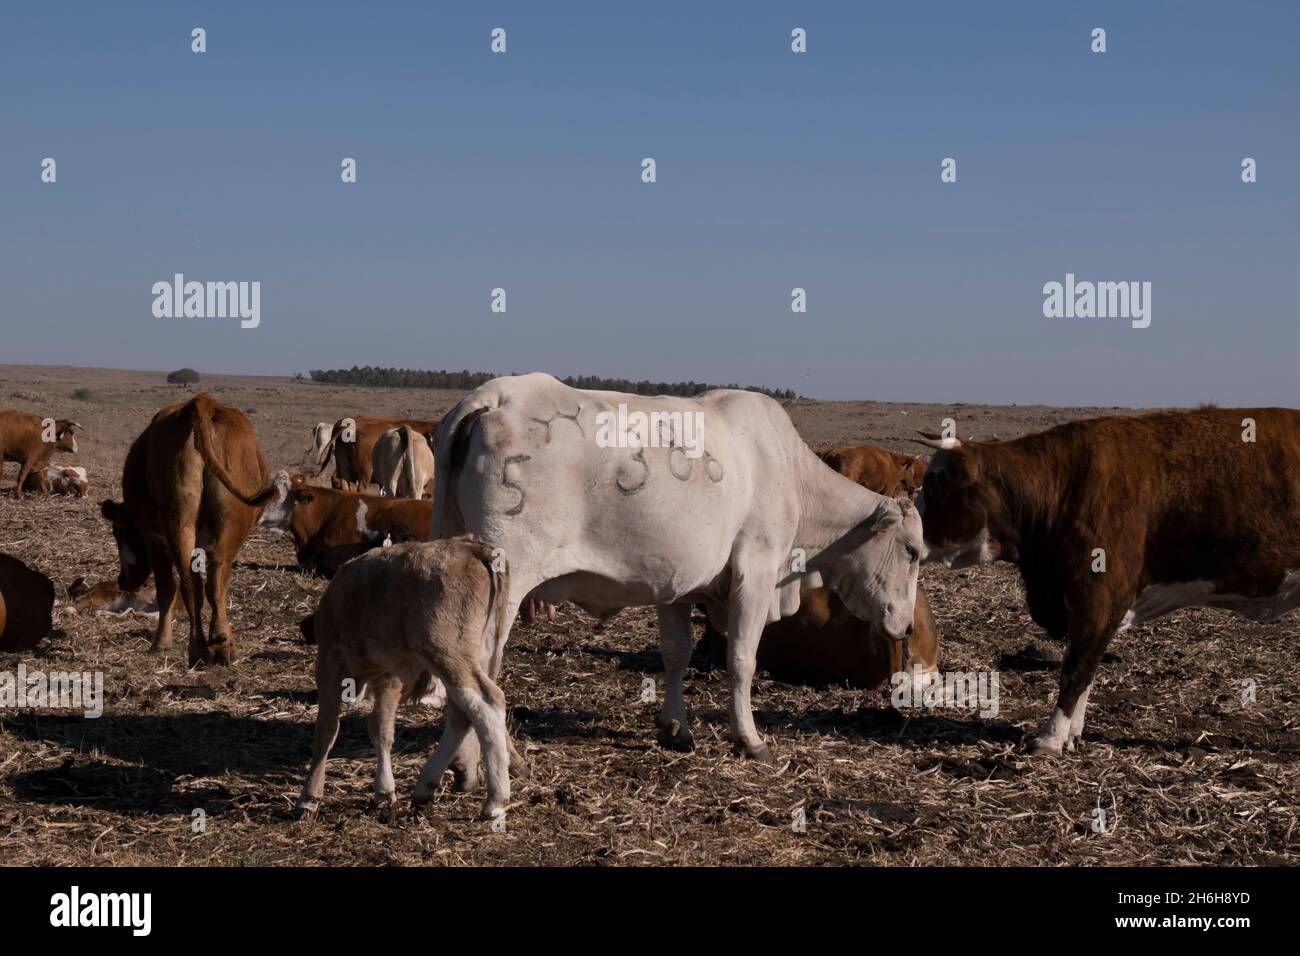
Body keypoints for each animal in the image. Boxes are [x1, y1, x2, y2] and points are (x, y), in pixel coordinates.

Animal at [99, 393, 277, 666]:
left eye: (118, 534)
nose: (123, 580)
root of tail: (202, 402)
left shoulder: (154, 539)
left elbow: (166, 590)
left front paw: (161, 643)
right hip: (223, 526)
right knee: (213, 583)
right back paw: (218, 646)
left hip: (176, 525)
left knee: (188, 585)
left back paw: (199, 649)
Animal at [297, 538, 518, 822]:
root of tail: (470, 546)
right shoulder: (391, 674)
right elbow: (380, 728)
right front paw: (384, 792)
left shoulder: (328, 661)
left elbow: (326, 729)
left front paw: (310, 796)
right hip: (480, 652)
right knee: (462, 712)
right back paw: (426, 786)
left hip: (446, 651)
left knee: (487, 704)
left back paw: (495, 800)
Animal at [432, 372, 923, 778]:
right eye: (914, 551)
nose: (907, 627)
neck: (790, 476)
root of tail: (488, 398)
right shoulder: (756, 571)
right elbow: (741, 659)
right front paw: (750, 739)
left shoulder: (677, 586)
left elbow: (675, 654)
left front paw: (674, 727)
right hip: (504, 582)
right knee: (482, 667)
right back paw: (497, 758)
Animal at [915, 407, 1300, 756]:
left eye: (935, 484)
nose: (906, 524)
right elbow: (1085, 666)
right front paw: (1071, 735)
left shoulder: (1098, 594)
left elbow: (1076, 671)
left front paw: (1050, 738)